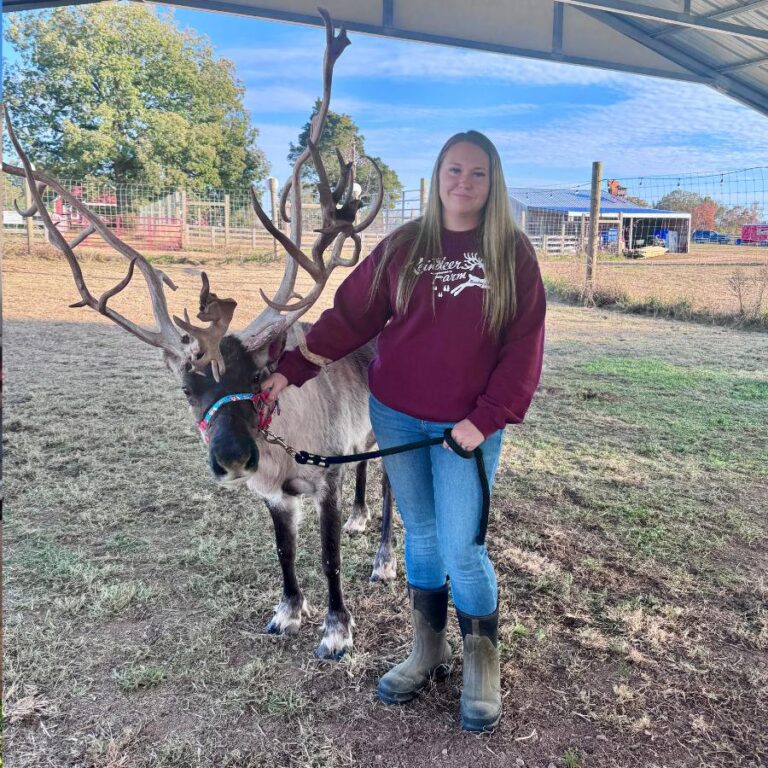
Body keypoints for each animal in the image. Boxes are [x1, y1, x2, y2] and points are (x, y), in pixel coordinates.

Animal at [3, 8, 396, 661]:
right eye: (188, 390)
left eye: (259, 376)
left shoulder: (325, 480)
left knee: (392, 487)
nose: (232, 457)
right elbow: (286, 555)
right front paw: (288, 612)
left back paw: (386, 553)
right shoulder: (275, 494)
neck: (280, 443)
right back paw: (365, 520)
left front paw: (337, 630)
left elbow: (329, 558)